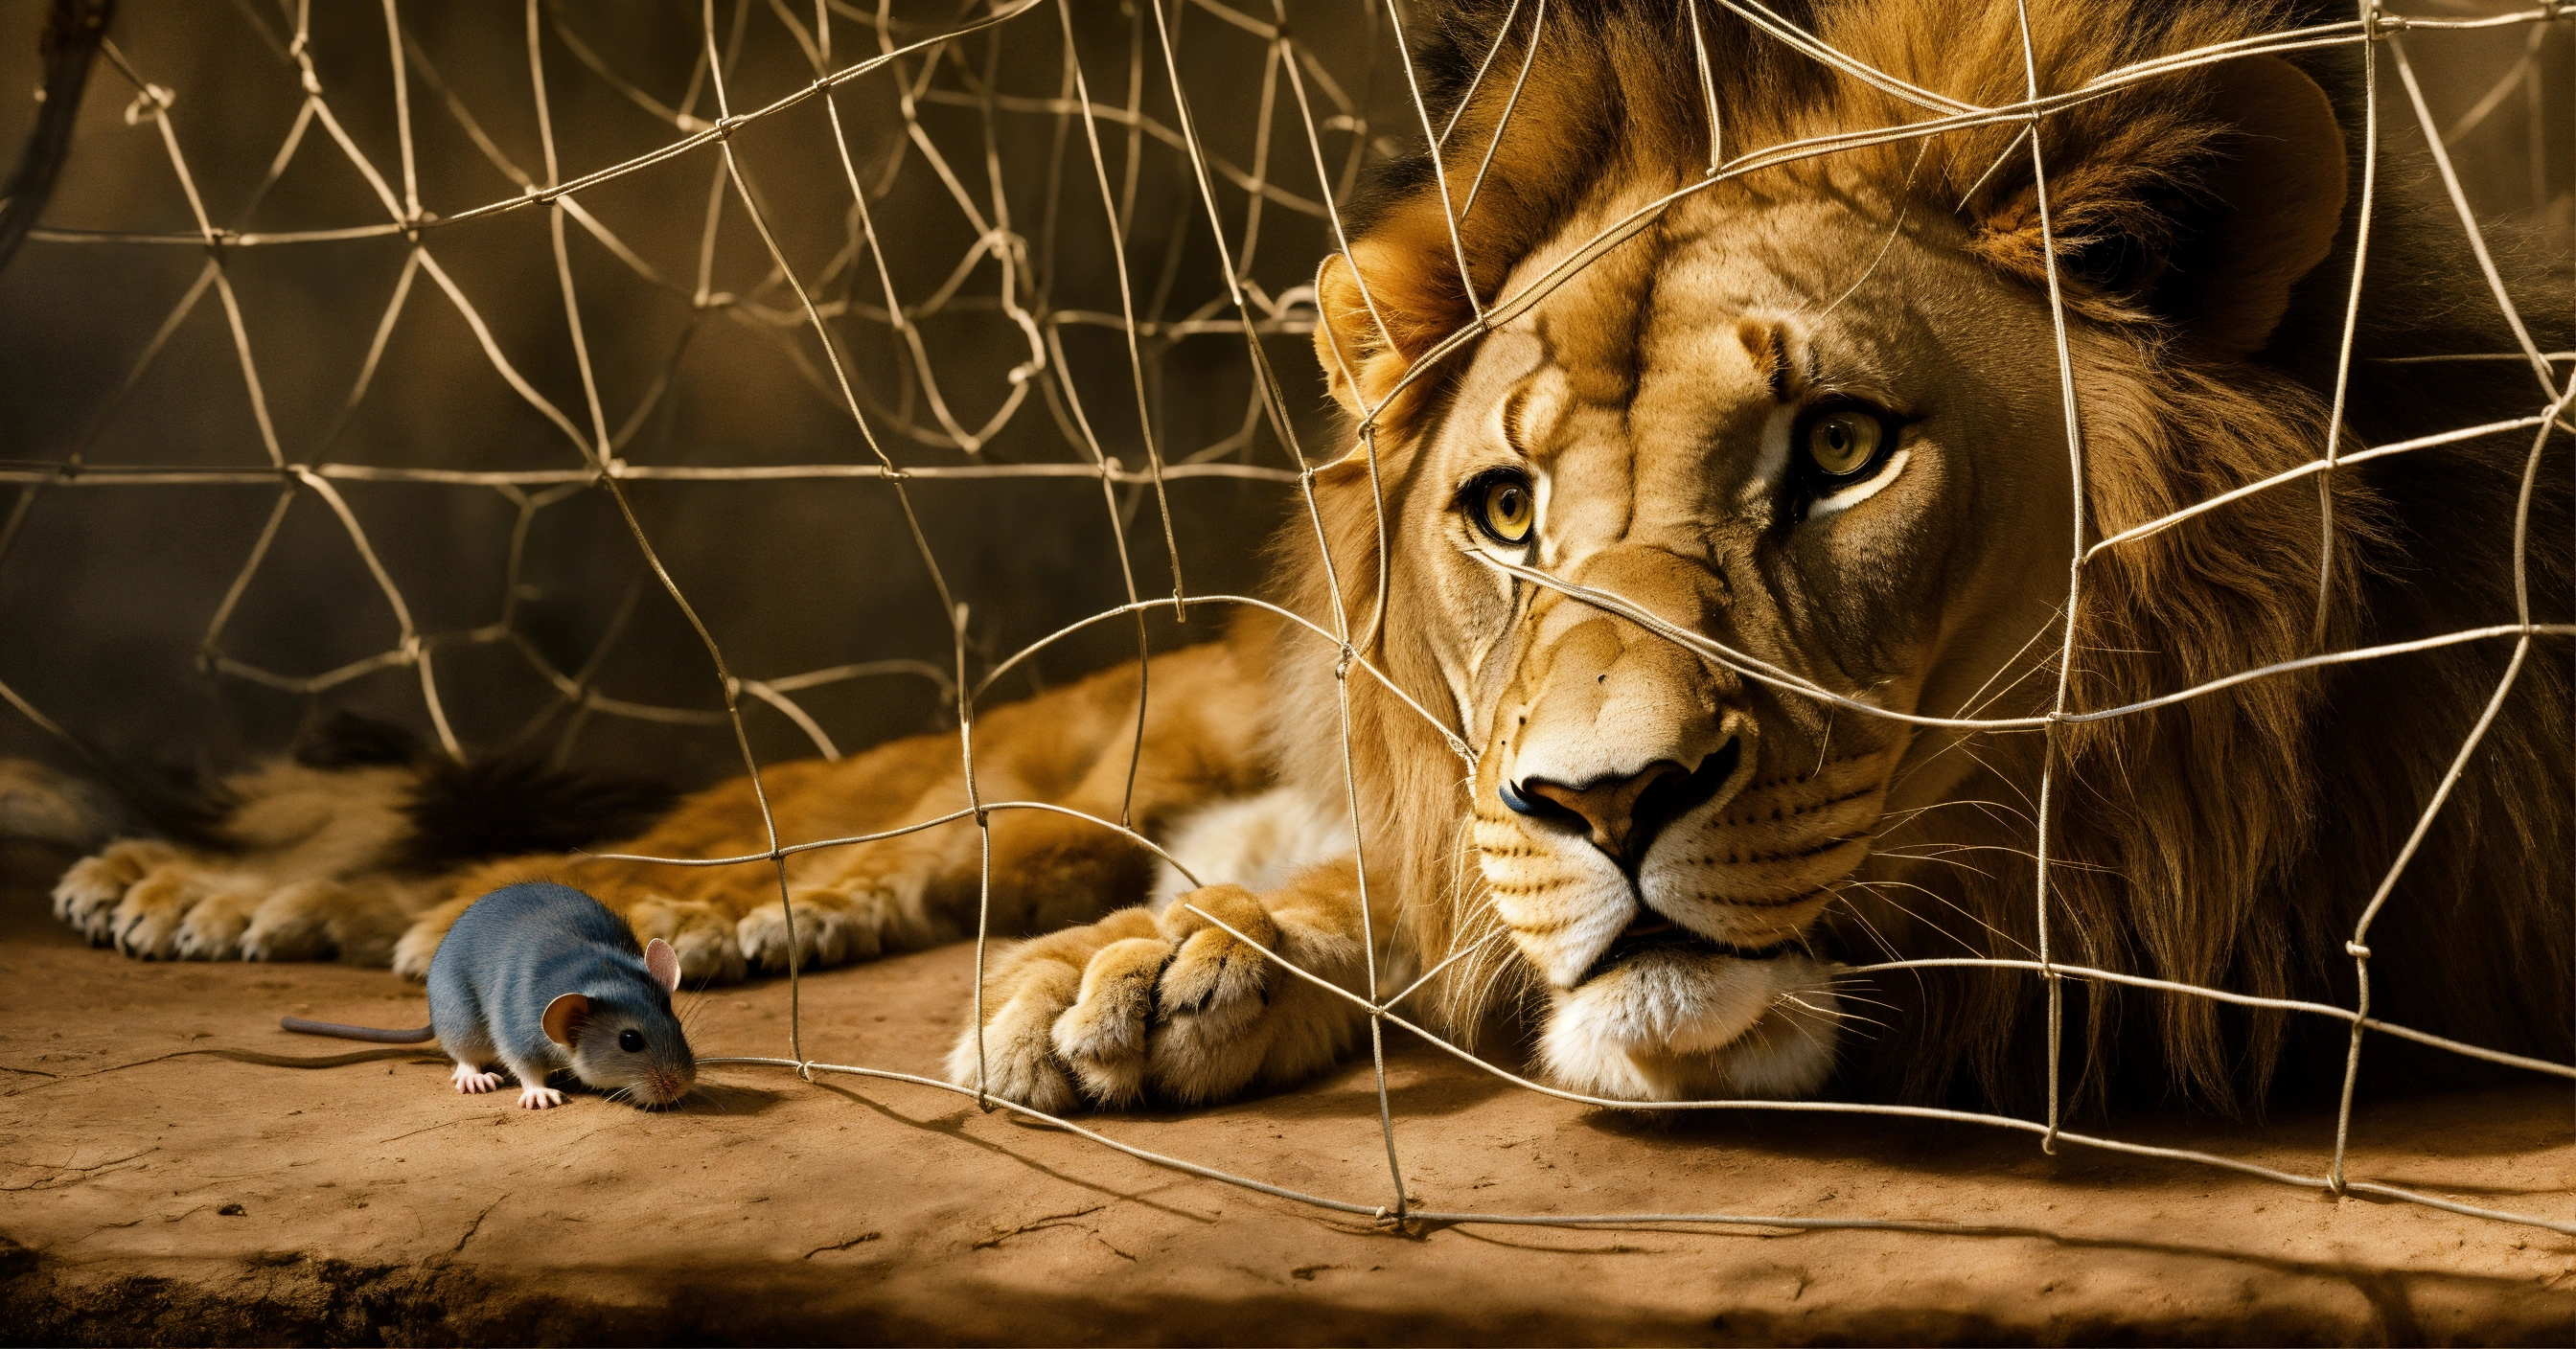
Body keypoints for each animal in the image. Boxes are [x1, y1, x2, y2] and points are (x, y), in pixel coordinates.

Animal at [41, 0, 2572, 1118]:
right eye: (1510, 510)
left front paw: (1180, 972)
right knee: (879, 790)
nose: (1607, 798)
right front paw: (1171, 966)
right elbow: (1406, 870)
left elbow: (1418, 898)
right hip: (1147, 702)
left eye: (1844, 450)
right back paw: (284, 888)